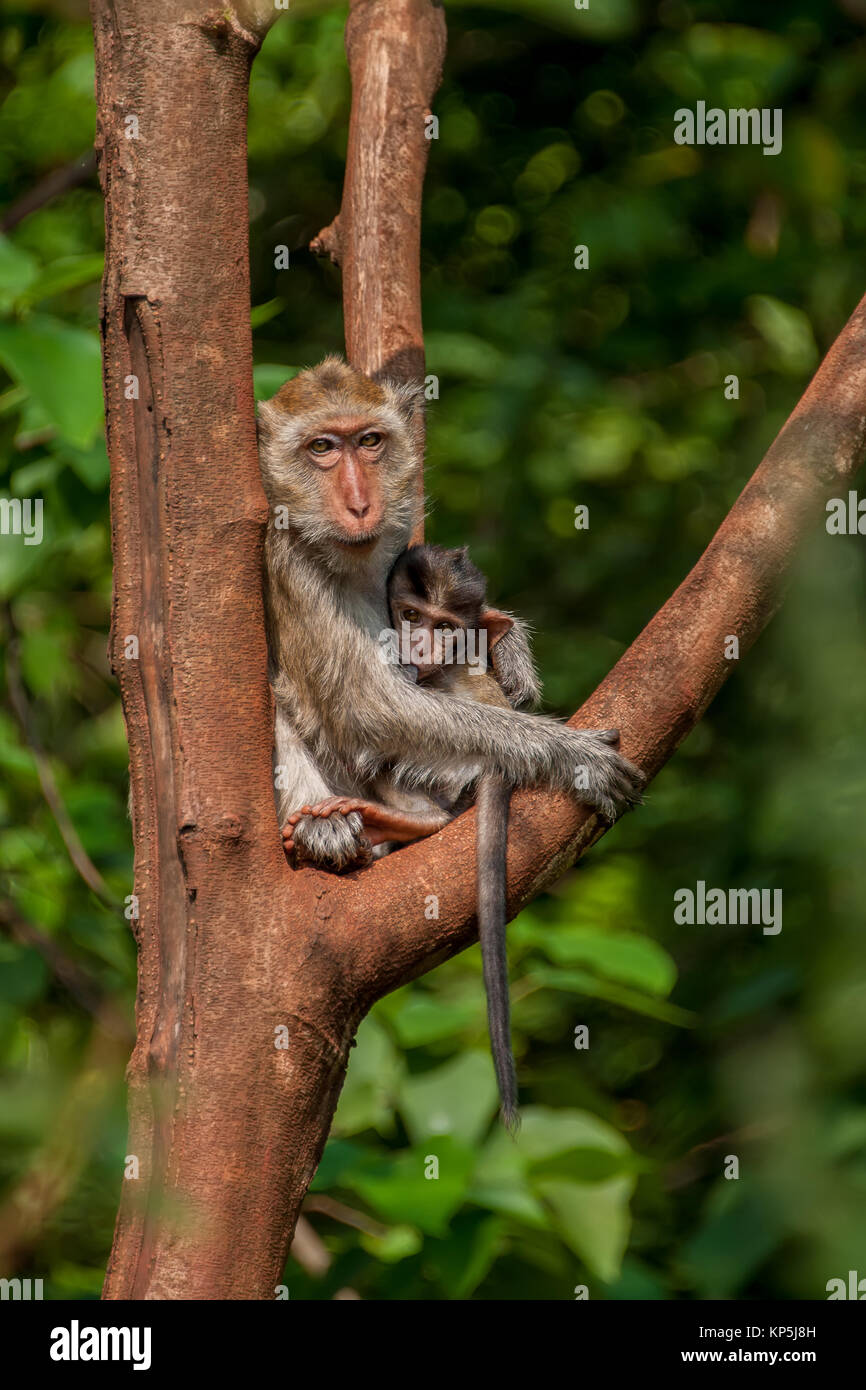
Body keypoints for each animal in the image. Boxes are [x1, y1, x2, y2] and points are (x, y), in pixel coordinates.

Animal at [257, 356, 644, 880]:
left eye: (370, 441)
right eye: (321, 447)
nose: (360, 504)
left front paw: (509, 646)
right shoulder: (290, 564)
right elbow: (367, 707)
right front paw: (571, 753)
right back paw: (329, 827)